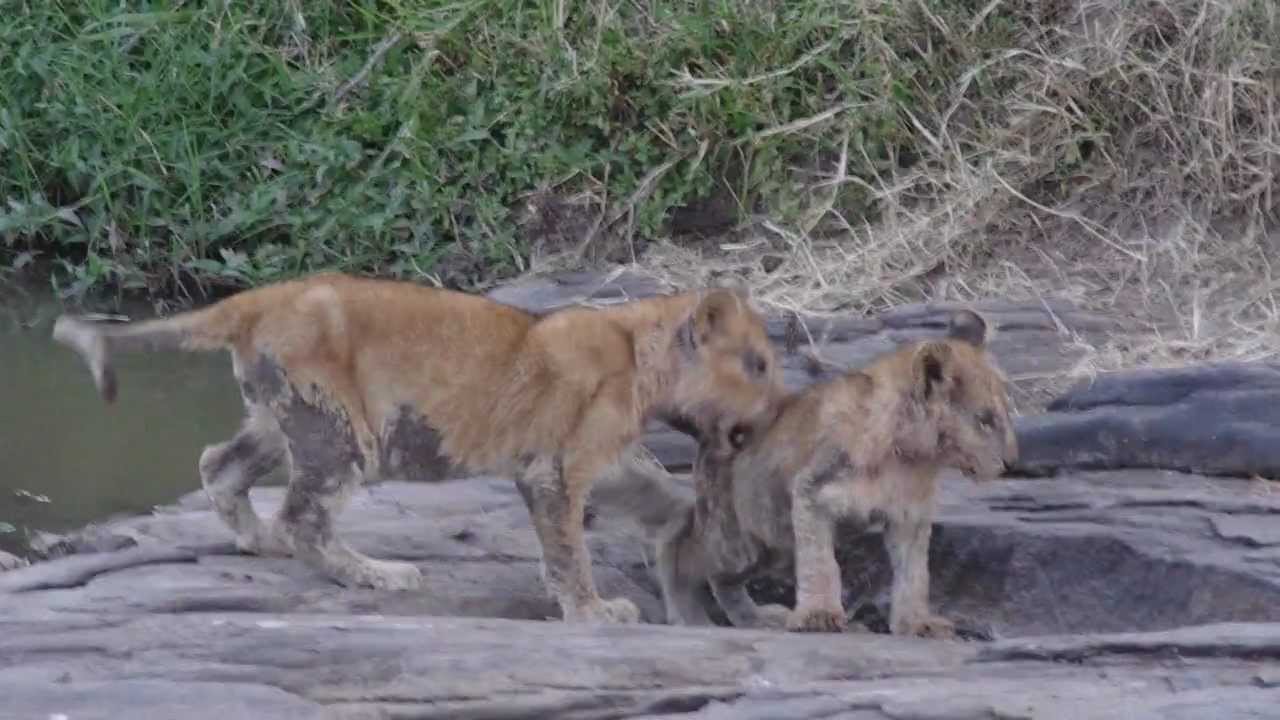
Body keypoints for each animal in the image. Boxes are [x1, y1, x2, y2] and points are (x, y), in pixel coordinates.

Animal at [51, 272, 782, 624]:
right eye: (759, 364)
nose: (781, 407)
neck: (642, 359)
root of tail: (255, 299)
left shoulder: (605, 460)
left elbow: (665, 497)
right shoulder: (553, 468)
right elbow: (569, 551)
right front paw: (594, 612)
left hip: (283, 416)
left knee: (219, 464)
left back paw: (259, 542)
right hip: (341, 431)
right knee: (304, 517)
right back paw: (377, 573)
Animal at [590, 308, 1017, 634]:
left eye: (1005, 413)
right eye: (985, 420)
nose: (1013, 461)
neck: (912, 459)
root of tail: (712, 435)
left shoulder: (908, 518)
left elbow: (914, 574)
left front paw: (917, 624)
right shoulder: (812, 493)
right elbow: (820, 563)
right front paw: (820, 616)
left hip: (770, 546)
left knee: (720, 575)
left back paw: (754, 618)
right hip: (744, 538)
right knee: (685, 543)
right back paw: (688, 612)